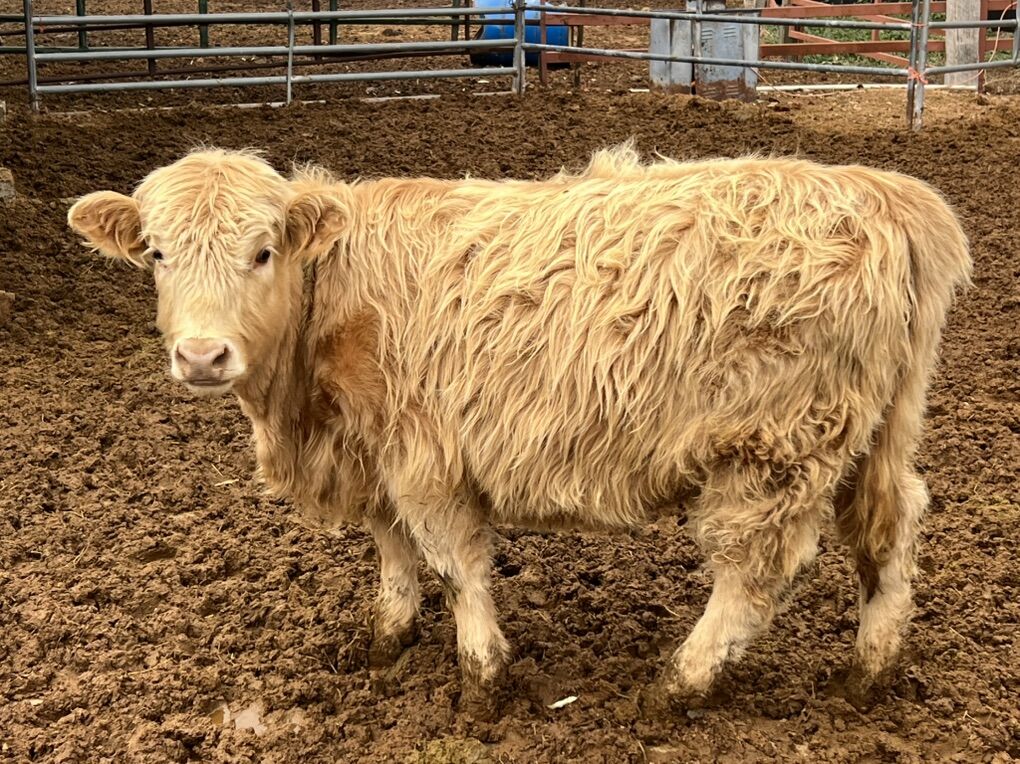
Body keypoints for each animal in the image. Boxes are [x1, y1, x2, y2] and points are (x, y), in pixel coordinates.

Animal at [68, 144, 971, 717]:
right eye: (156, 254)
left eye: (261, 252)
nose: (201, 355)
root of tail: (877, 190)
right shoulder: (372, 458)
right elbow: (392, 553)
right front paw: (386, 639)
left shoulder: (424, 459)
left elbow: (455, 568)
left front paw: (481, 682)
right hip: (875, 436)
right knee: (889, 537)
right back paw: (869, 675)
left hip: (771, 449)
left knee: (752, 576)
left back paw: (678, 685)